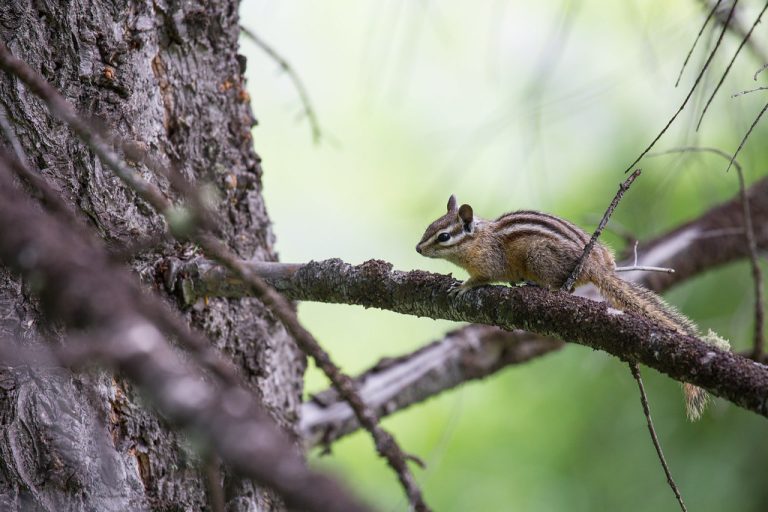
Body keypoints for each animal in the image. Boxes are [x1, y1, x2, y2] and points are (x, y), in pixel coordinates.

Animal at [416, 194, 708, 420]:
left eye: (443, 236)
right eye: (429, 227)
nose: (418, 249)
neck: (476, 240)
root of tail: (595, 267)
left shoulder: (489, 262)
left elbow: (482, 277)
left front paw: (464, 286)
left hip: (538, 256)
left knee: (559, 287)